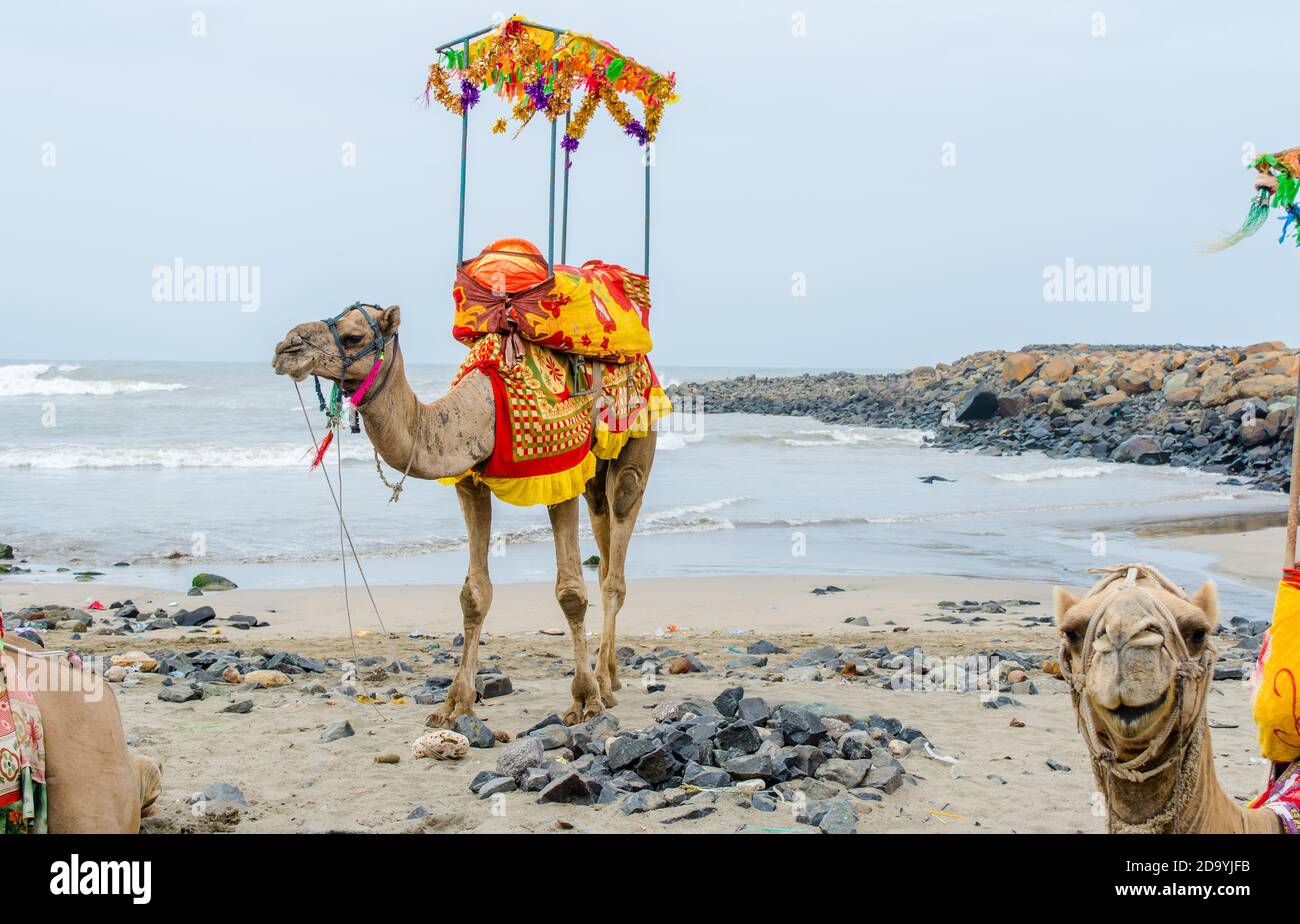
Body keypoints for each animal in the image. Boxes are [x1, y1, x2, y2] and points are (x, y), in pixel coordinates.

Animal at [272, 303, 655, 727]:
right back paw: (612, 677)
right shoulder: (470, 481)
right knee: (604, 545)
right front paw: (455, 704)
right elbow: (474, 594)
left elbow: (570, 592)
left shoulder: (559, 475)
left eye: (353, 336)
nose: (285, 348)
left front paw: (585, 700)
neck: (482, 410)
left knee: (617, 549)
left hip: (637, 438)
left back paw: (602, 681)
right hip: (595, 470)